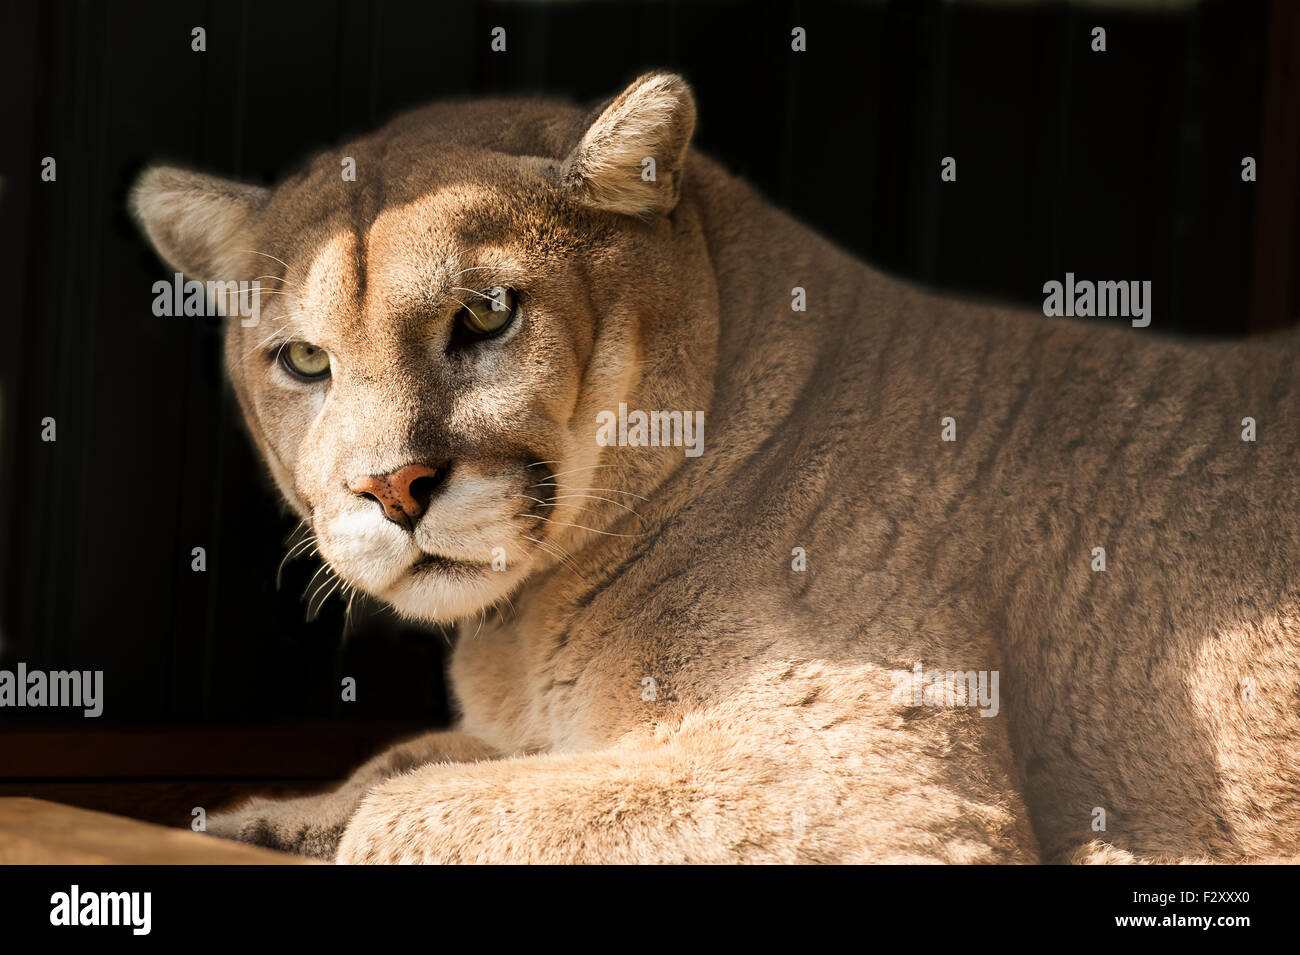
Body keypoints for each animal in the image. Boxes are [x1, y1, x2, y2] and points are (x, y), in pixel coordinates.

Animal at [130, 72, 1300, 863]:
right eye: (304, 361)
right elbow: (409, 759)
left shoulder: (880, 786)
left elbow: (434, 803)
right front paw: (262, 816)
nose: (392, 489)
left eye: (488, 314)